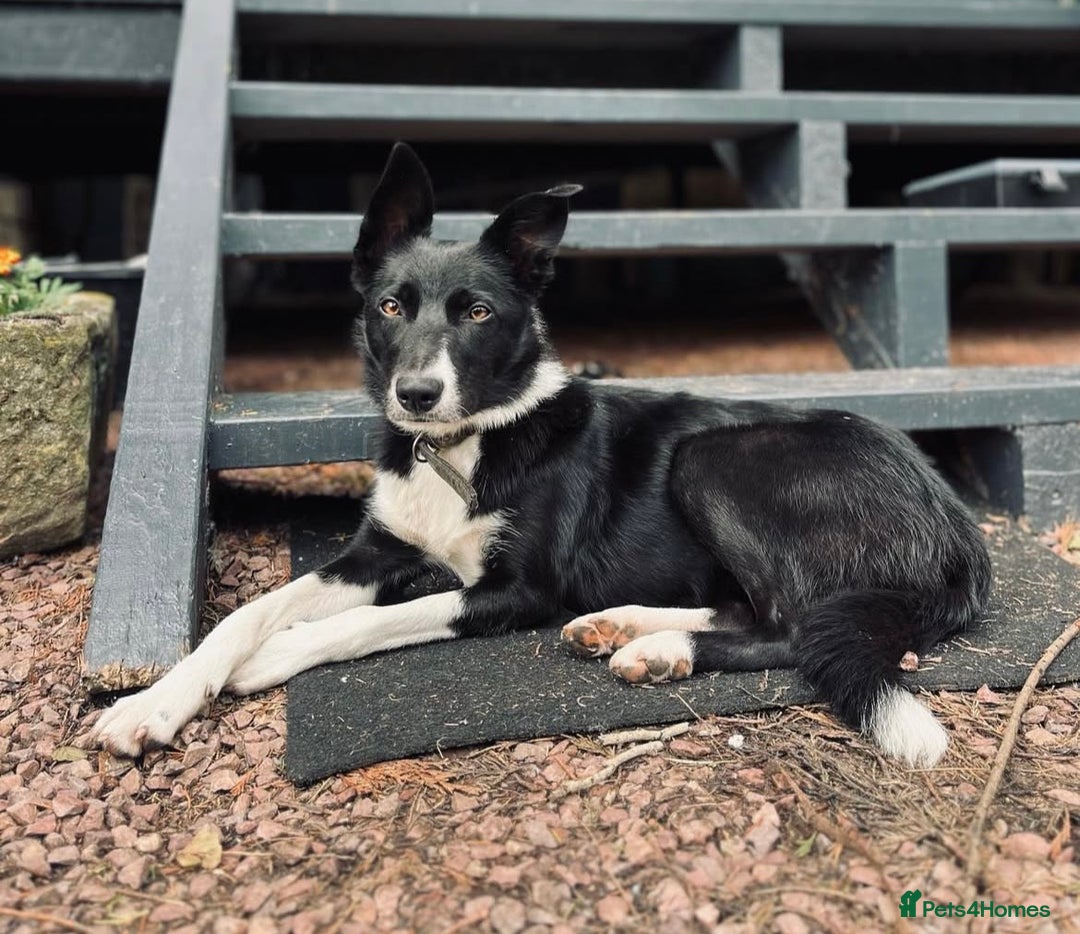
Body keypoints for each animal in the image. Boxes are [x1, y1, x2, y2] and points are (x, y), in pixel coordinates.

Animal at [92, 142, 992, 767]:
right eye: (391, 306)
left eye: (478, 313)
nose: (415, 394)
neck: (461, 444)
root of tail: (958, 532)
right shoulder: (375, 551)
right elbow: (244, 615)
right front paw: (155, 703)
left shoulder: (516, 589)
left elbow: (376, 620)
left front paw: (277, 657)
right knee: (751, 608)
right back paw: (622, 627)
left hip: (712, 458)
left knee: (792, 623)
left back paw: (660, 649)